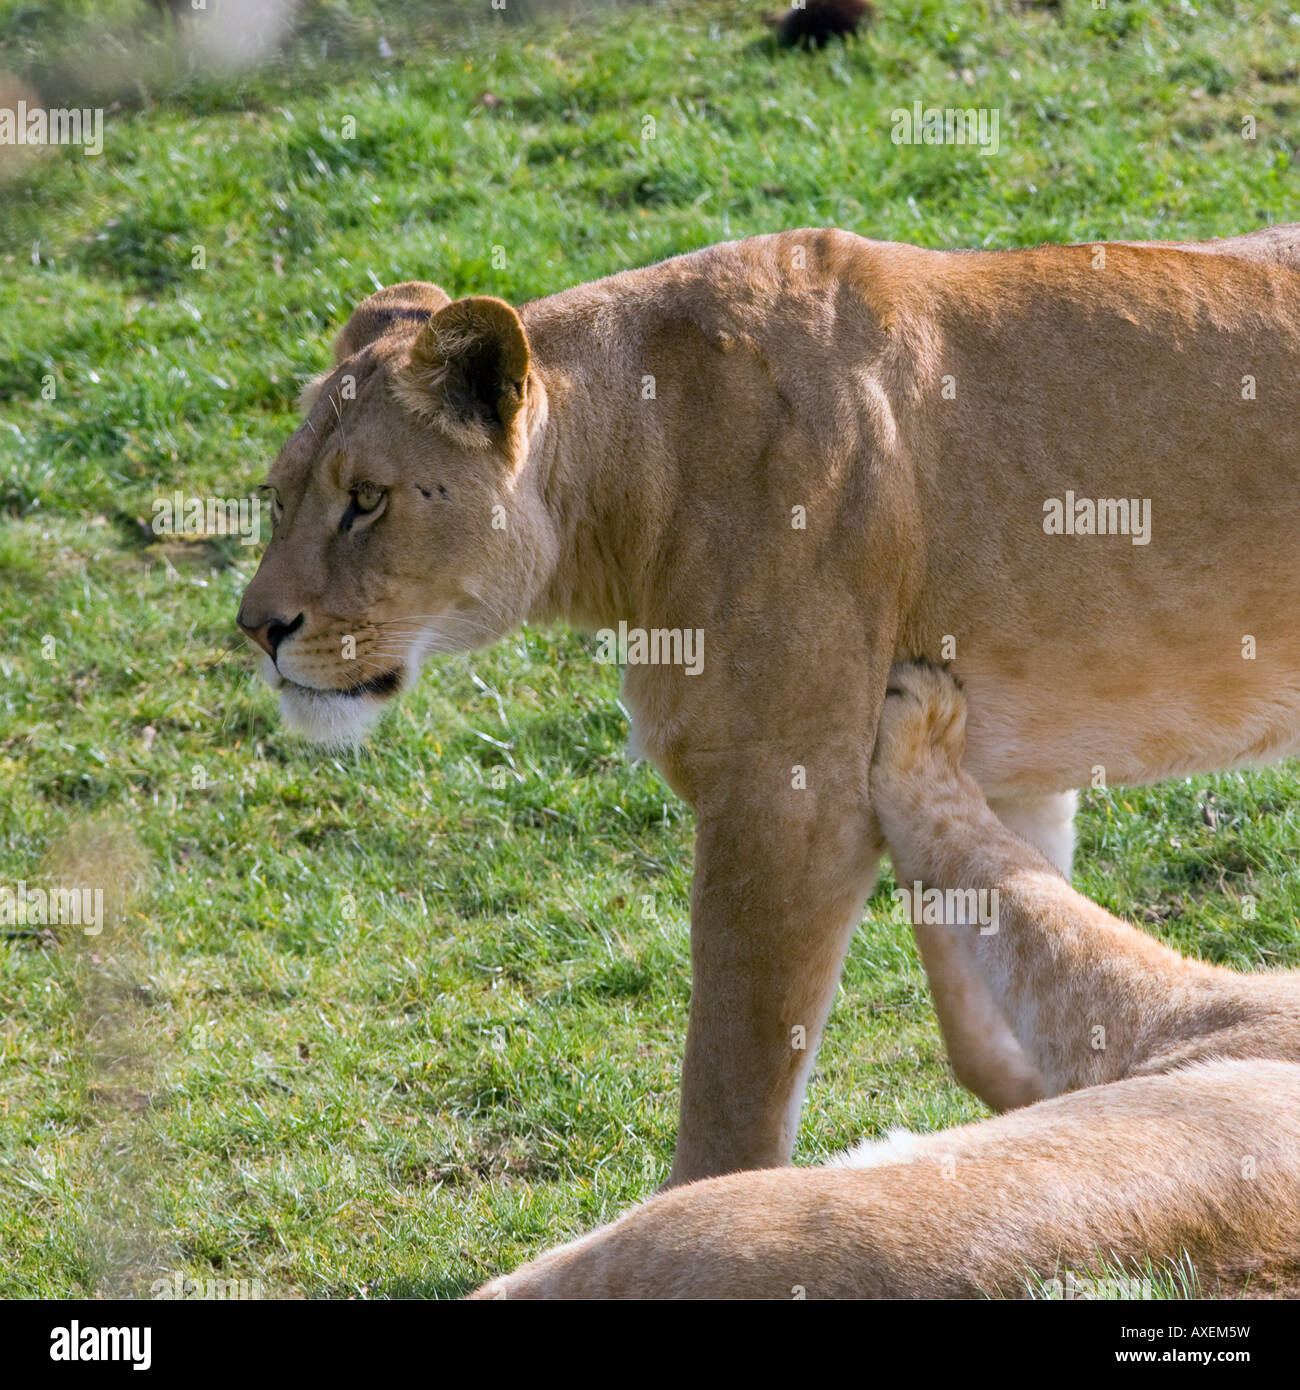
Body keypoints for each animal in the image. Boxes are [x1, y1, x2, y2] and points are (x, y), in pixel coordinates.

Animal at [238, 223, 1300, 1185]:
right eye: (277, 496)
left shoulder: (785, 801)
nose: (257, 629)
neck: (629, 477)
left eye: (367, 499)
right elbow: (996, 970)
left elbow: (730, 1102)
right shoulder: (1006, 778)